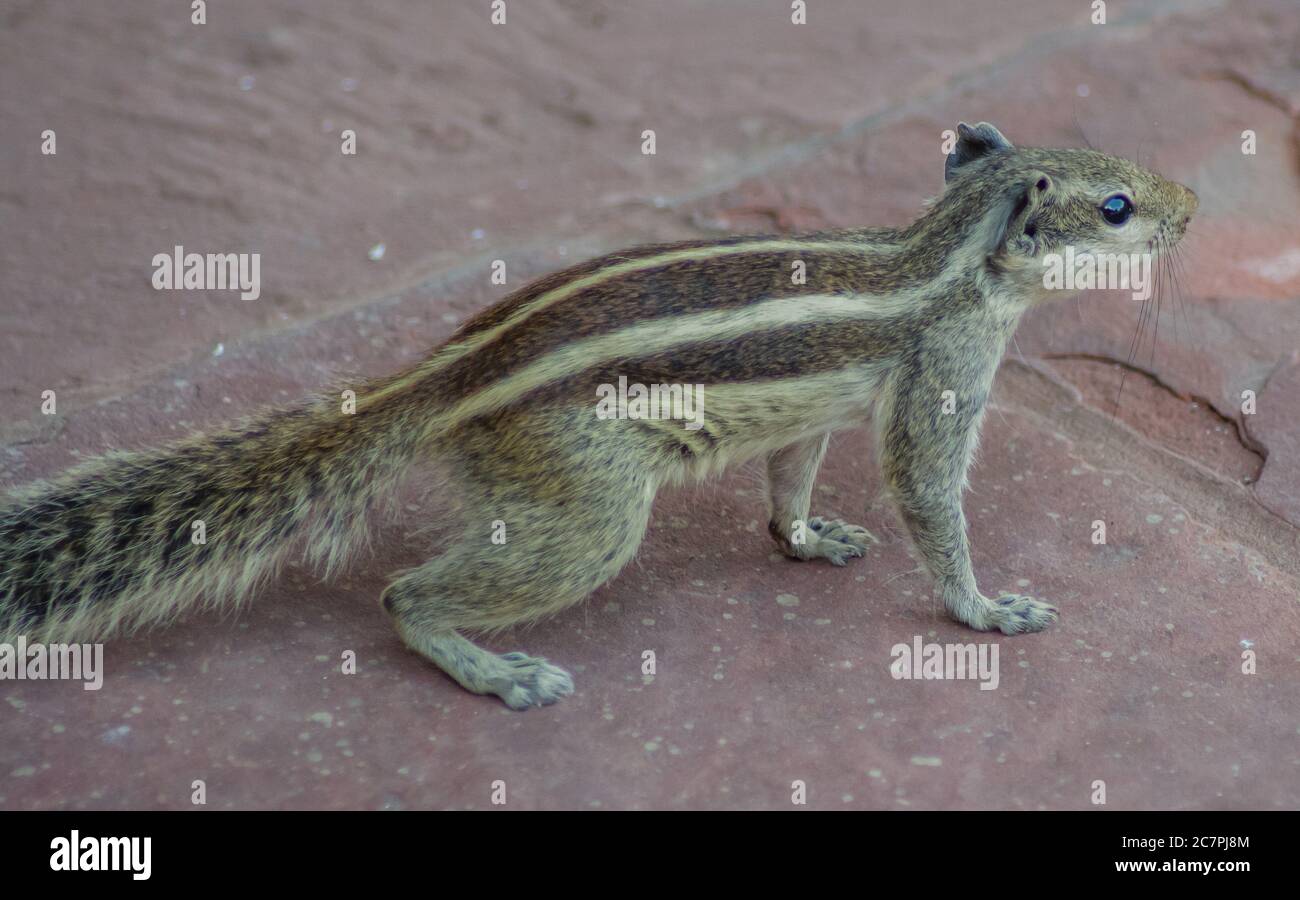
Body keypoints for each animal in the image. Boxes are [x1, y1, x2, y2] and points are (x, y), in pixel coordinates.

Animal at [2, 121, 1196, 712]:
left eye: (1127, 173)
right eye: (1117, 207)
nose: (1191, 208)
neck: (939, 254)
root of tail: (438, 382)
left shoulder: (819, 407)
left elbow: (794, 476)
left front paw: (807, 536)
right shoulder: (943, 376)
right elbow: (930, 497)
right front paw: (983, 609)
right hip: (588, 516)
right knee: (406, 595)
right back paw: (495, 671)